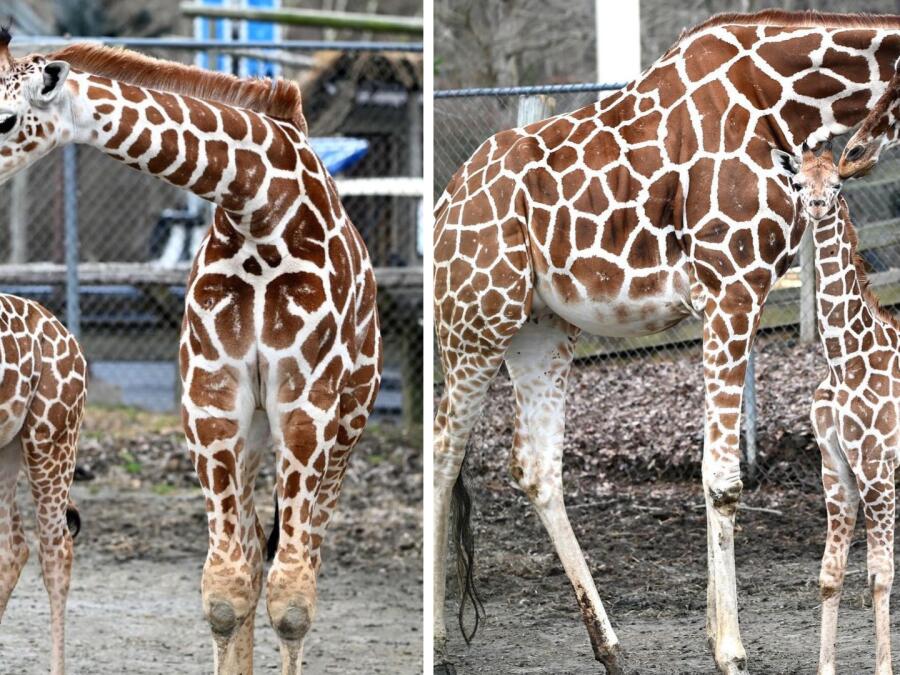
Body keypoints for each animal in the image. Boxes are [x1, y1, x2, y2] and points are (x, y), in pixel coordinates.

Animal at [0, 30, 382, 674]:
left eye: (5, 119)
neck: (259, 211)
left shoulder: (307, 409)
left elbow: (292, 601)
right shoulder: (211, 403)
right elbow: (226, 592)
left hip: (345, 426)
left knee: (304, 560)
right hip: (253, 431)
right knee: (250, 553)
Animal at [433, 10, 900, 675]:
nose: (858, 151)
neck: (782, 97)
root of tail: (445, 205)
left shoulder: (726, 298)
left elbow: (714, 470)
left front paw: (711, 633)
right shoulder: (732, 288)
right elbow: (724, 480)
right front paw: (731, 650)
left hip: (539, 329)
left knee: (536, 466)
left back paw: (609, 648)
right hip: (476, 319)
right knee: (445, 452)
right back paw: (439, 646)